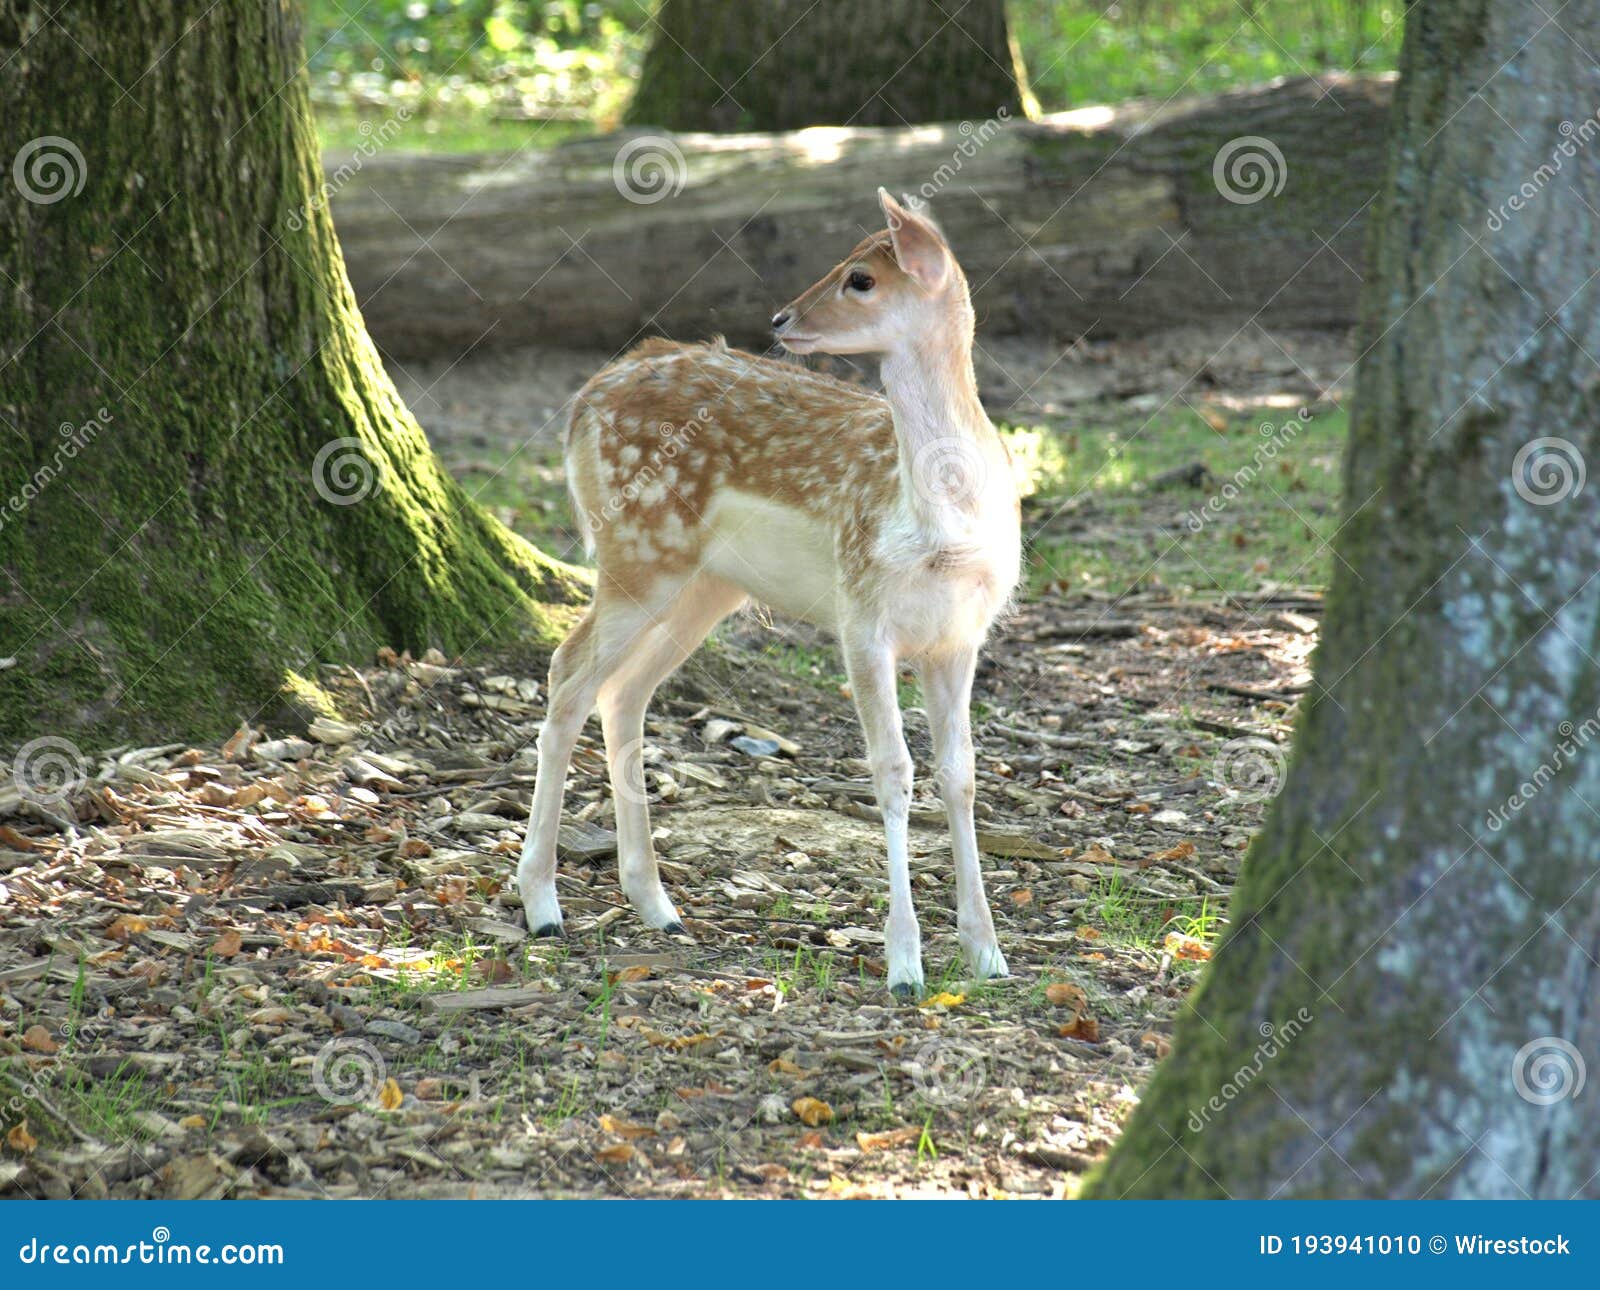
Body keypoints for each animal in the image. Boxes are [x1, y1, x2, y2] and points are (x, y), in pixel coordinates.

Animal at [516, 189, 1021, 998]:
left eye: (859, 278)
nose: (782, 318)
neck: (942, 524)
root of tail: (584, 400)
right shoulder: (862, 613)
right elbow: (892, 770)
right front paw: (904, 966)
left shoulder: (959, 635)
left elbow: (962, 775)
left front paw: (988, 953)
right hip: (637, 552)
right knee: (568, 672)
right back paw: (542, 905)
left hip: (703, 586)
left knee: (621, 692)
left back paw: (657, 905)